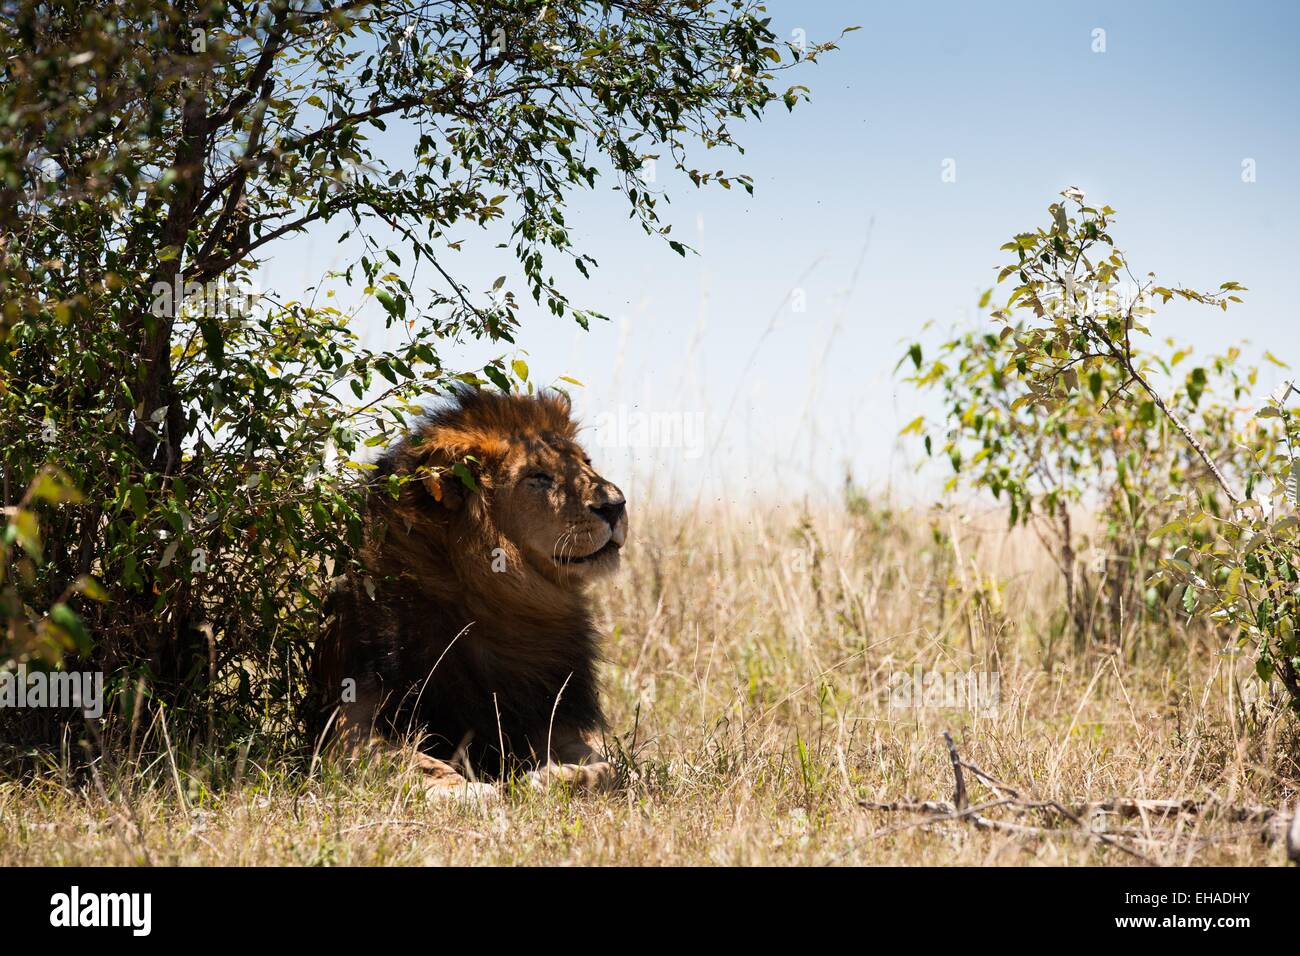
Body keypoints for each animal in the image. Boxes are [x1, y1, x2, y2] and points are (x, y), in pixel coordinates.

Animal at [311, 387, 628, 801]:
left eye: (586, 463)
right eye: (538, 477)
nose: (616, 506)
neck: (497, 603)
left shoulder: (549, 718)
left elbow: (610, 768)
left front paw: (556, 777)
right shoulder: (348, 727)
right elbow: (410, 760)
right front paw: (470, 792)